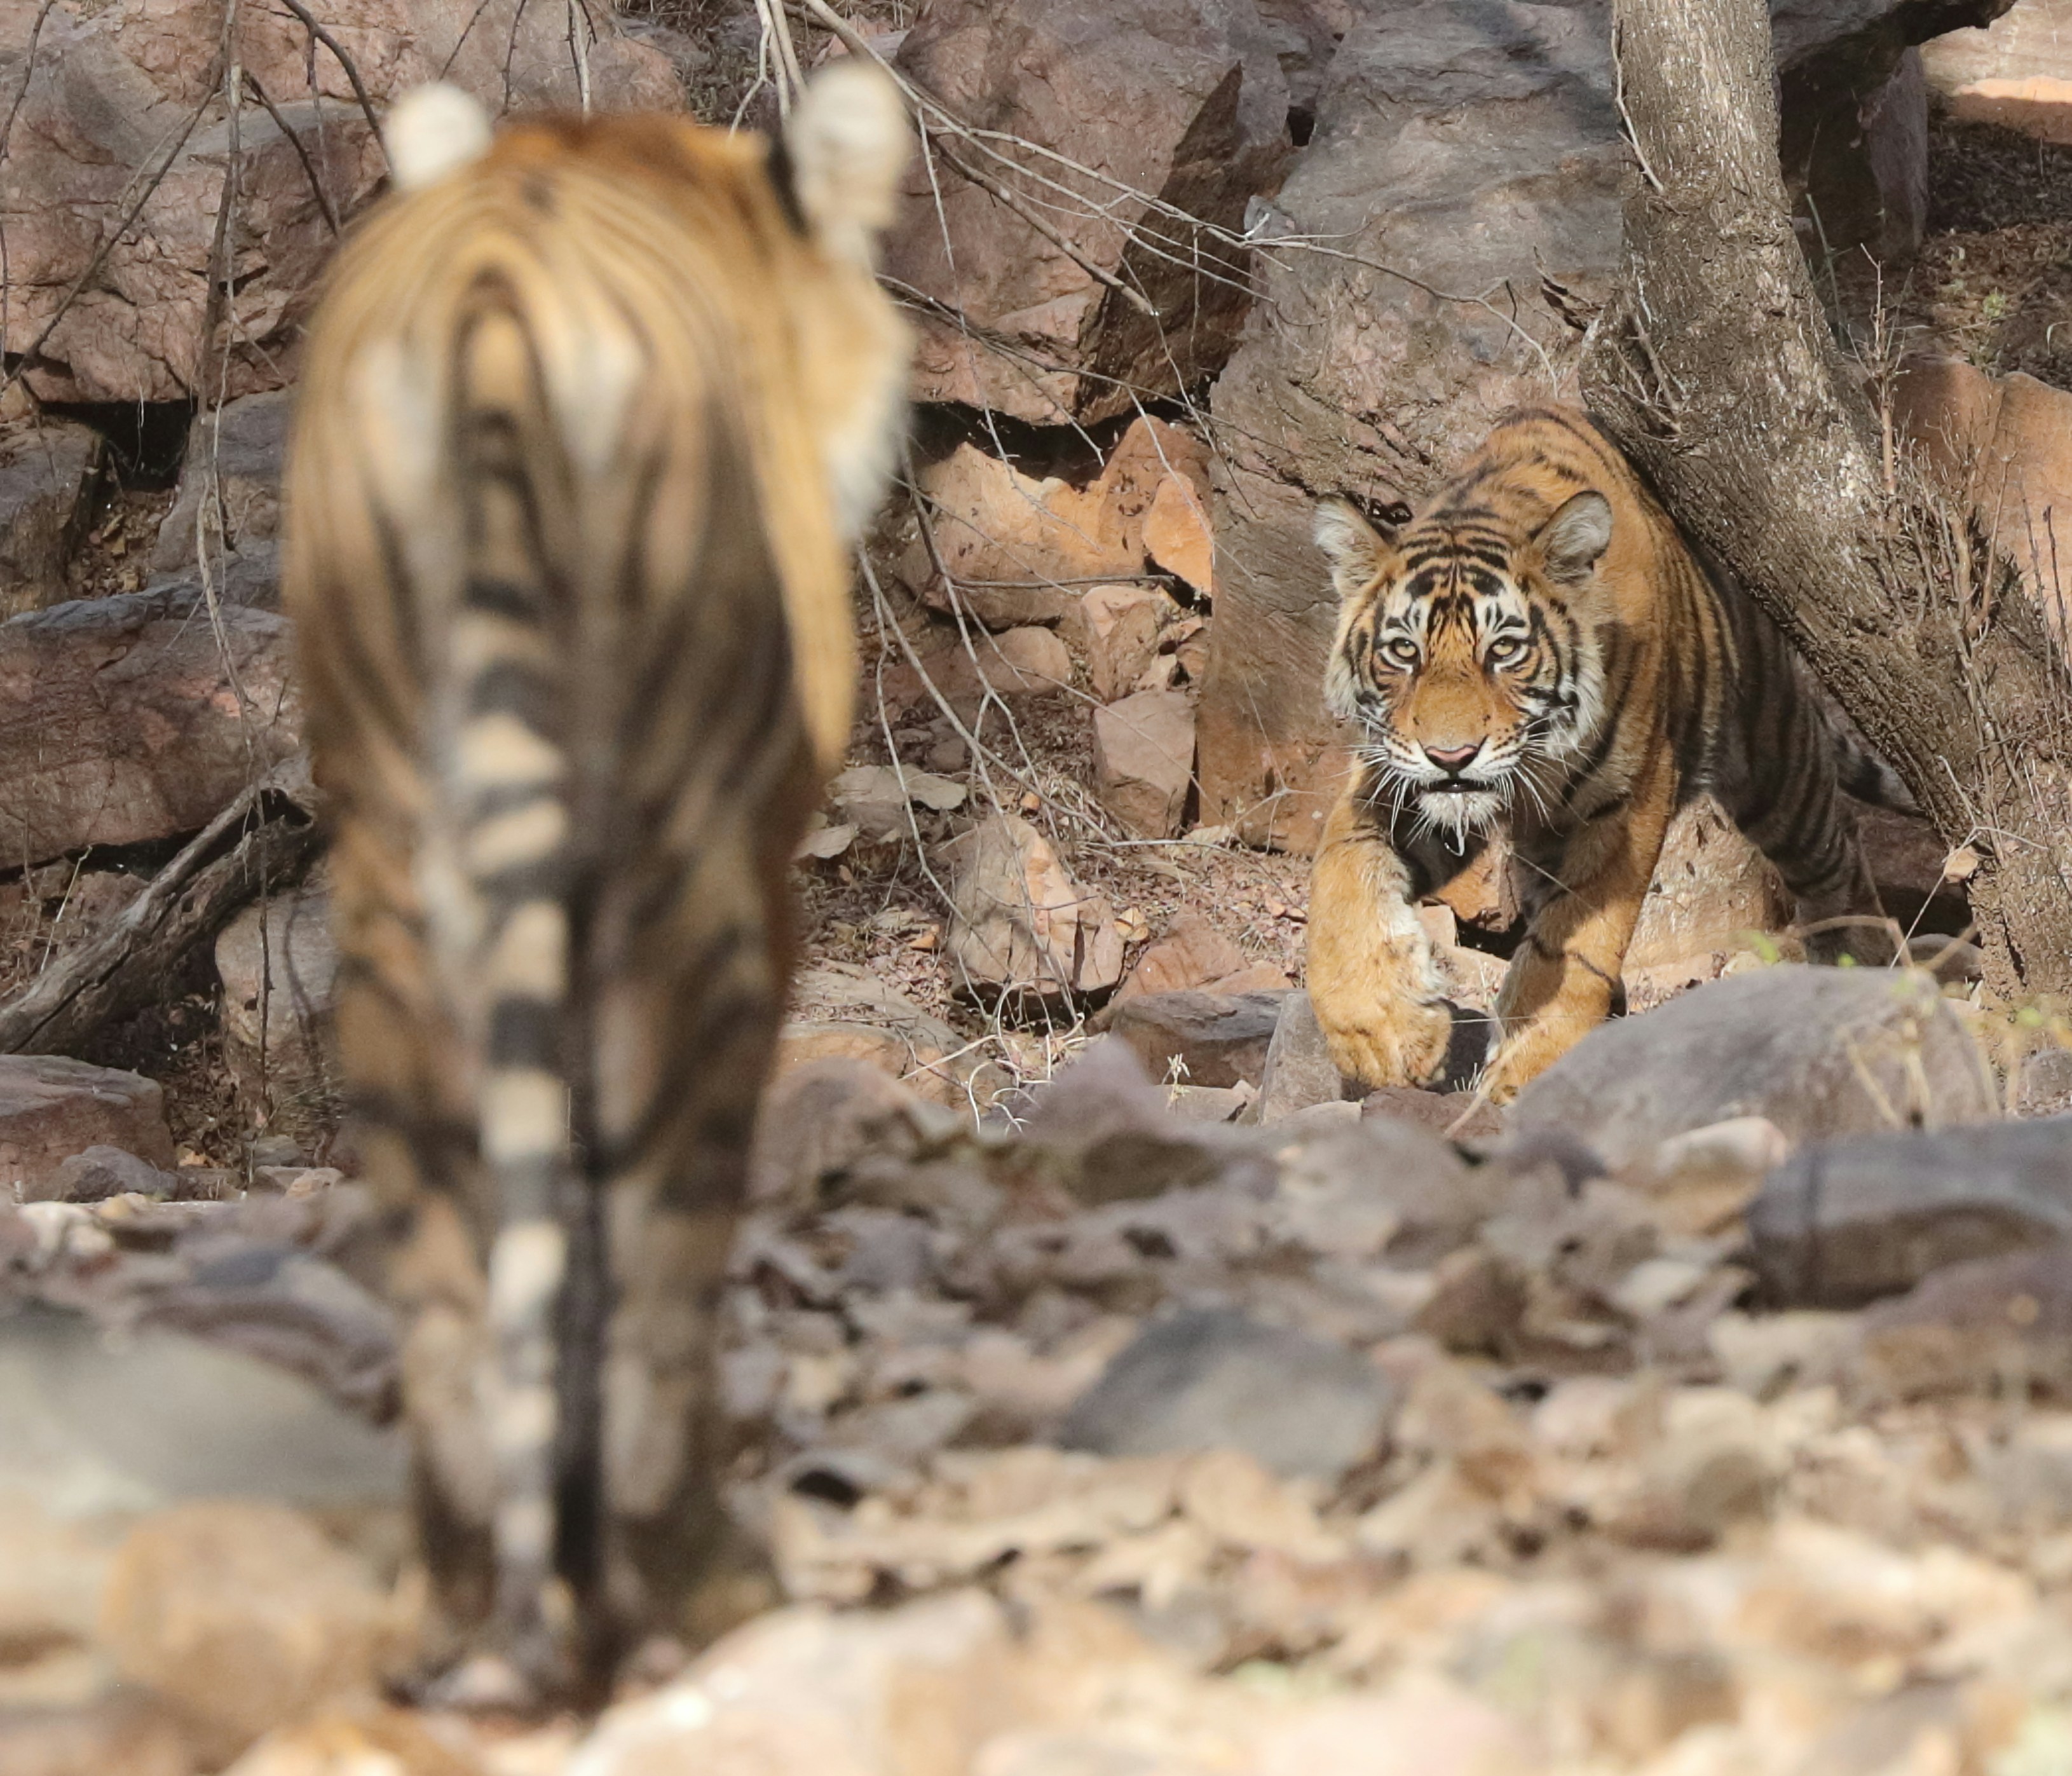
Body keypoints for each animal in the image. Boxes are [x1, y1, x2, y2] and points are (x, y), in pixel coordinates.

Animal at [281, 65, 911, 1701]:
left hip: (389, 867)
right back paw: (684, 1586)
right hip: (686, 883)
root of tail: (497, 288)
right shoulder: (759, 857)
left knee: (450, 1264)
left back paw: (456, 1599)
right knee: (659, 1251)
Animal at [1305, 405, 1907, 1104]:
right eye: (1403, 651)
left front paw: (1532, 1063)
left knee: (1834, 857)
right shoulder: (1395, 779)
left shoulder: (1630, 801)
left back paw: (1862, 970)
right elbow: (1340, 871)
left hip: (1774, 754)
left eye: (1504, 650)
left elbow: (1579, 940)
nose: (1451, 755)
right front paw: (1379, 1033)